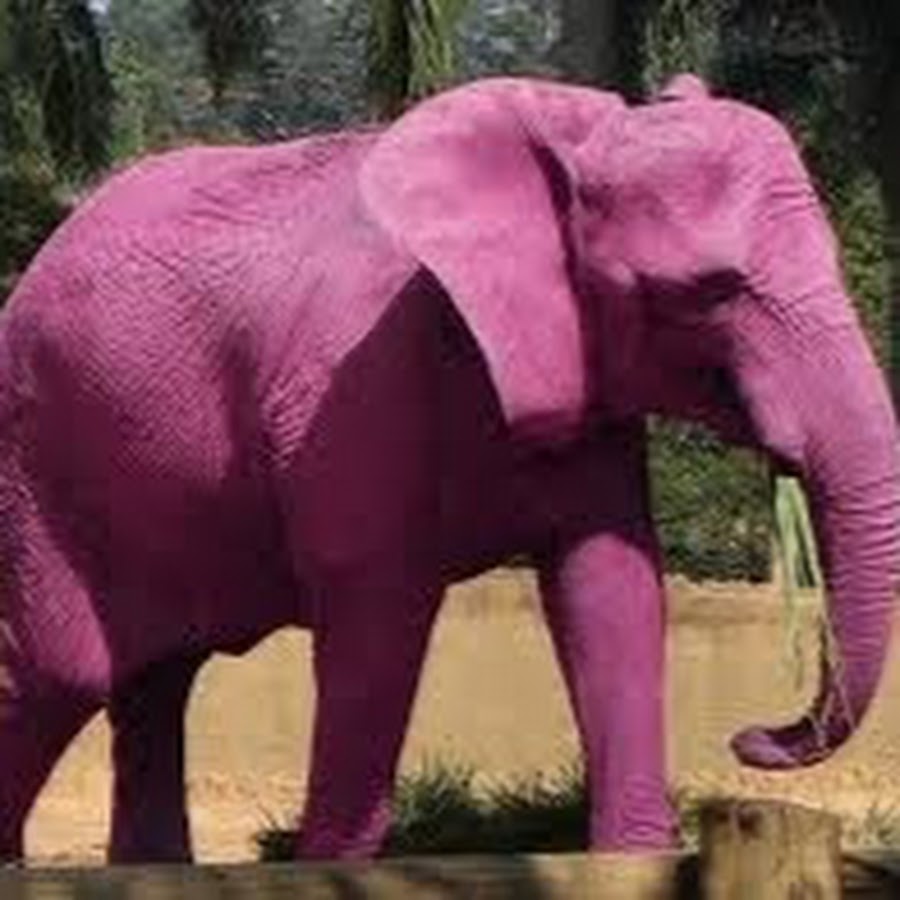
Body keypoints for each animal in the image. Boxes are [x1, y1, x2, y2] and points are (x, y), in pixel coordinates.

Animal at [0, 72, 896, 864]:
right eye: (708, 292)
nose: (753, 738)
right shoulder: (356, 382)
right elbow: (377, 609)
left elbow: (611, 583)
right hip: (41, 468)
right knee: (58, 676)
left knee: (153, 682)